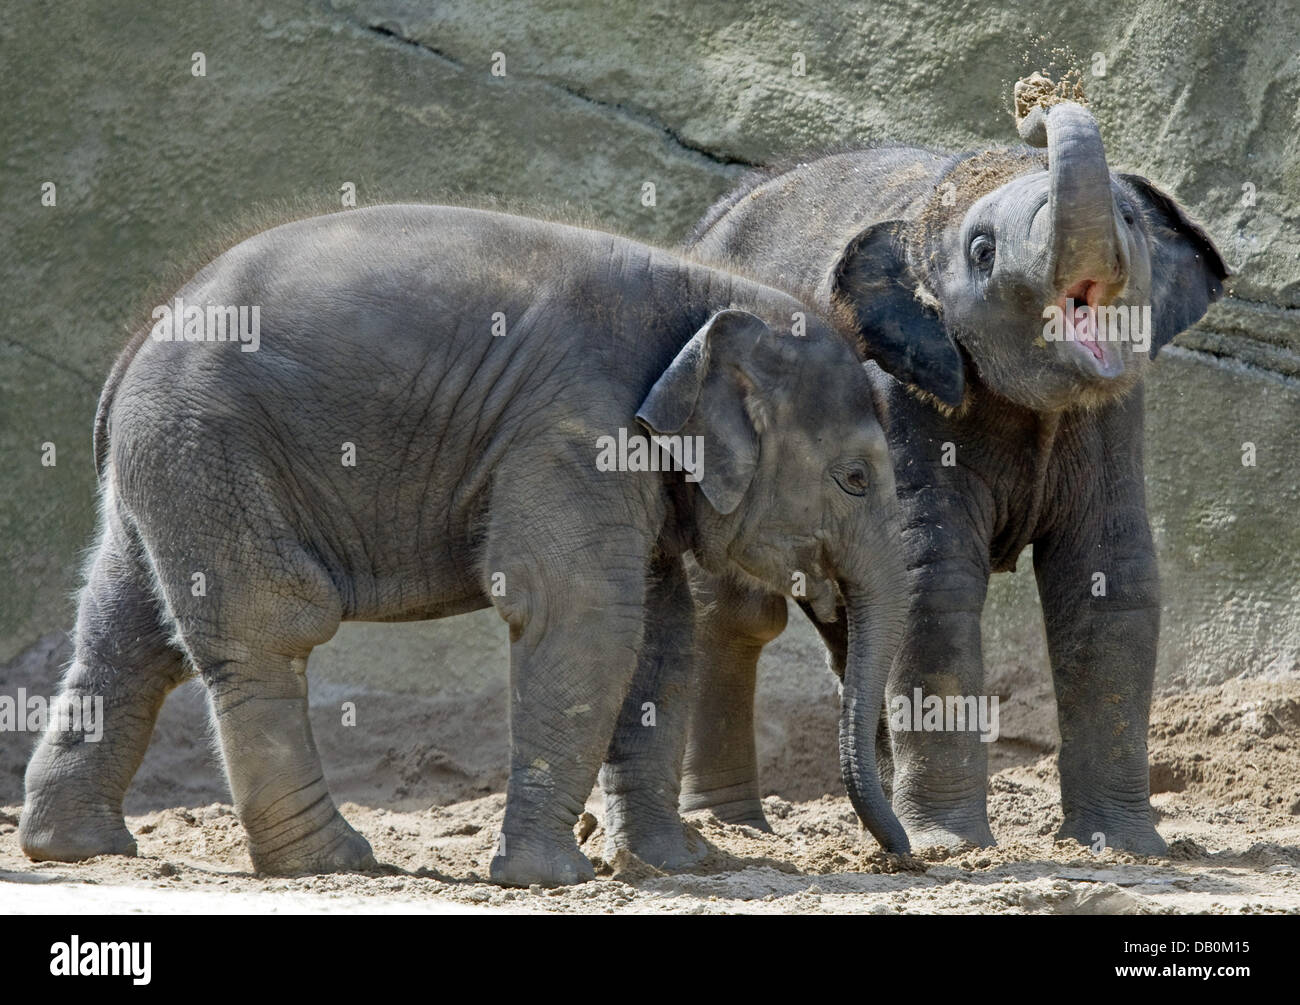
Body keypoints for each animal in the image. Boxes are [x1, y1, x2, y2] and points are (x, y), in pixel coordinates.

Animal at [19, 204, 911, 888]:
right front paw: (552, 879)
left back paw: (75, 848)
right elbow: (582, 615)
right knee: (267, 626)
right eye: (856, 478)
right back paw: (333, 862)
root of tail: (138, 341)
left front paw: (677, 864)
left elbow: (659, 633)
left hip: (168, 468)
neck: (708, 291)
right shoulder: (573, 429)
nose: (899, 857)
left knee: (129, 635)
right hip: (208, 446)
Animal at [675, 100, 1227, 854]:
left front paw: (1125, 847)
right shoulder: (899, 391)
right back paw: (734, 825)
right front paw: (952, 846)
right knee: (737, 613)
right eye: (982, 251)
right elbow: (932, 578)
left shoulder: (1114, 415)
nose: (1033, 108)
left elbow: (1111, 574)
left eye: (1132, 218)